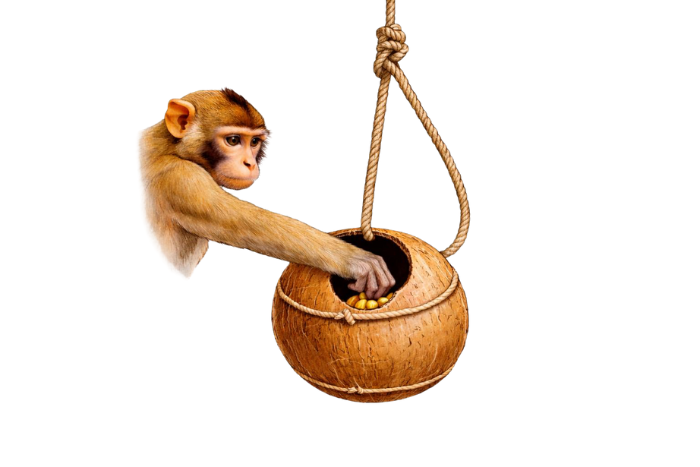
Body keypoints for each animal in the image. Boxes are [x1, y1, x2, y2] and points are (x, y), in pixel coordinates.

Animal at [140, 88, 395, 299]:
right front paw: (356, 260)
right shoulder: (183, 178)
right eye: (233, 140)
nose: (250, 163)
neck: (173, 147)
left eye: (254, 142)